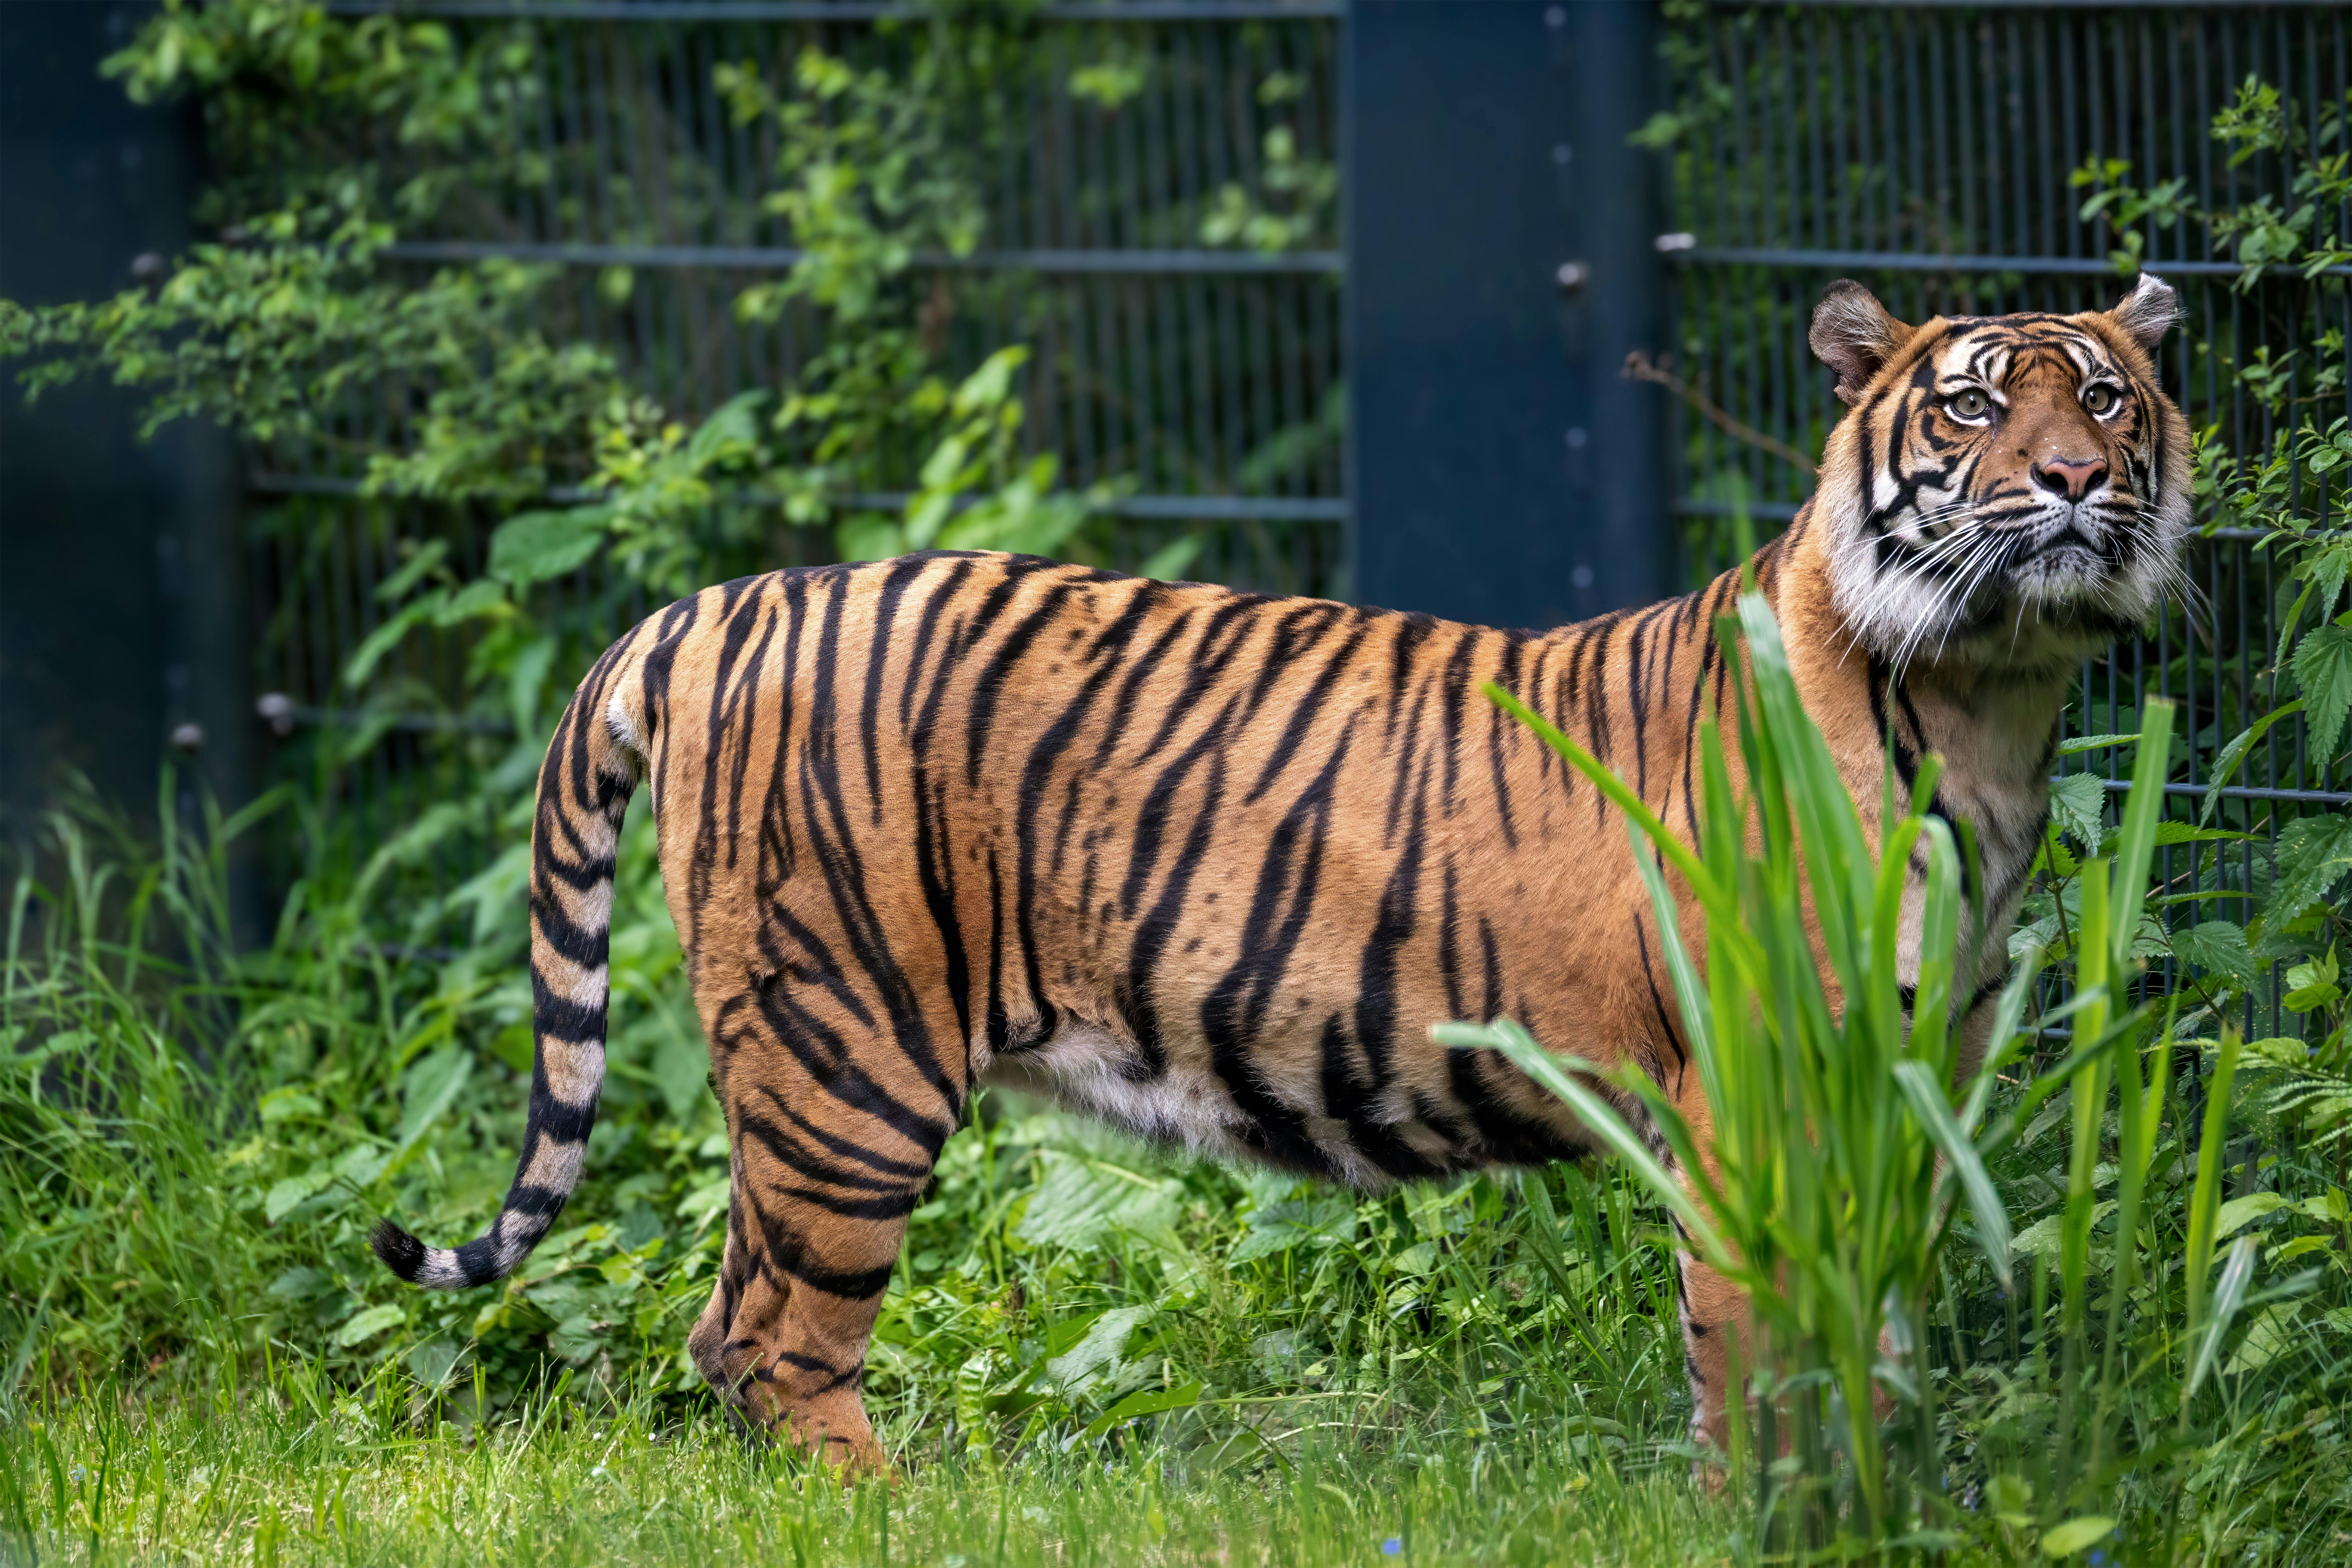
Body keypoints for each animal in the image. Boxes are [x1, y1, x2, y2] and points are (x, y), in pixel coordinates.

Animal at [371, 273, 2191, 1468]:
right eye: (1973, 403)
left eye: (2104, 397)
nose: (2073, 481)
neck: (1989, 696)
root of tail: (722, 602)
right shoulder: (1752, 1092)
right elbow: (1759, 1350)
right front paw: (1783, 1504)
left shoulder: (1911, 1073)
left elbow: (1872, 1325)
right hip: (846, 1056)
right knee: (770, 1338)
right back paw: (888, 1508)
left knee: (730, 1325)